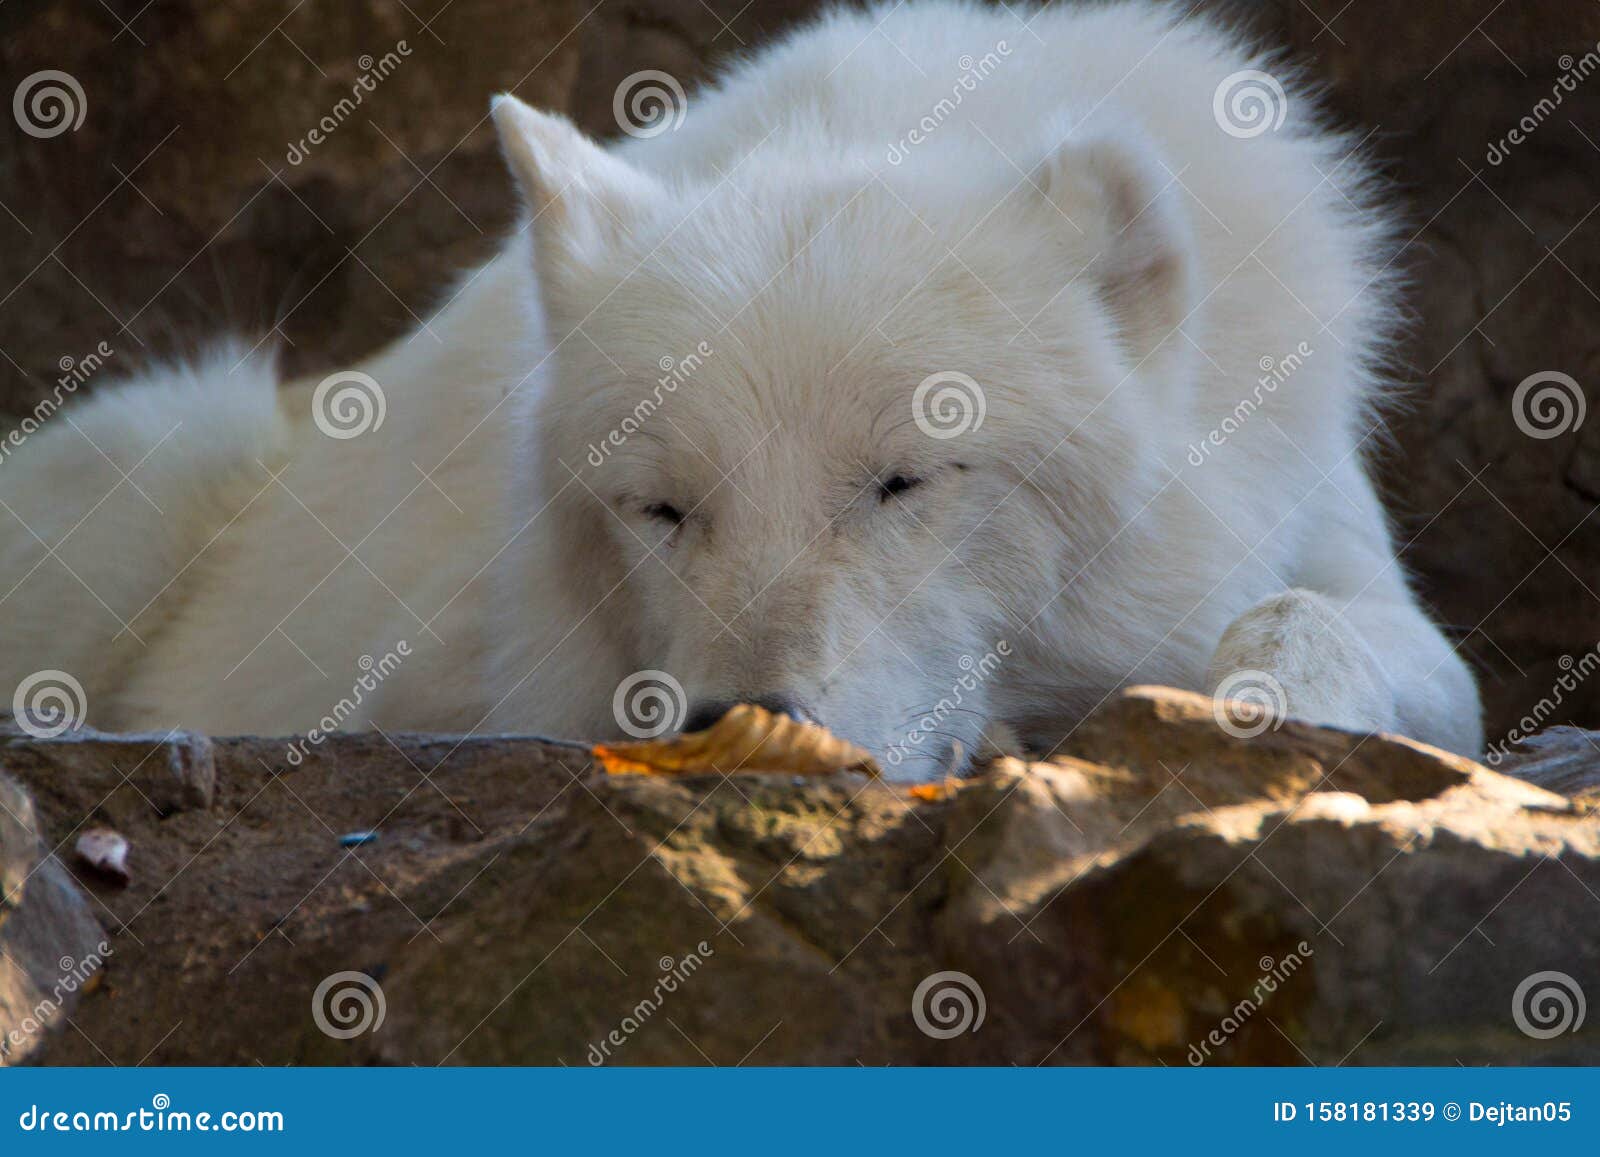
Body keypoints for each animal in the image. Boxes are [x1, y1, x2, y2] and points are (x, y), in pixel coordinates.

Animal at [0, 1, 1481, 779]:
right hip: (166, 452)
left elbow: (1344, 633)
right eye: (662, 508)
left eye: (904, 480)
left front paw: (1259, 693)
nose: (740, 725)